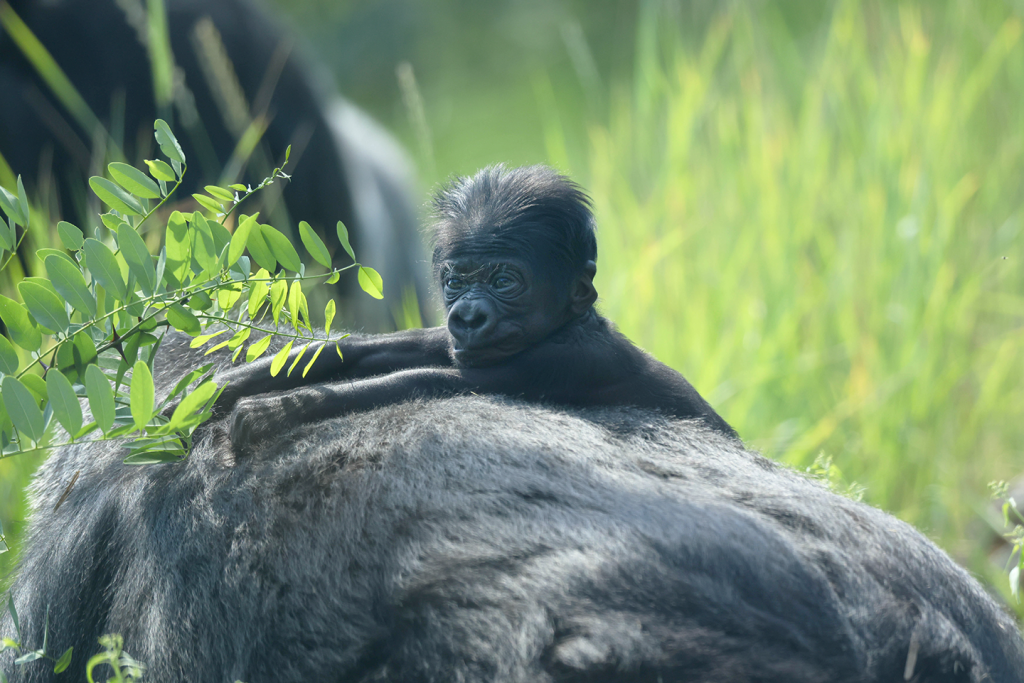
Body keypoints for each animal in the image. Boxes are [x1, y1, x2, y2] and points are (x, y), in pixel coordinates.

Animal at [211, 164, 738, 456]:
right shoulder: (449, 337)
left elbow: (433, 381)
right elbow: (382, 351)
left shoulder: (567, 359)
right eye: (456, 282)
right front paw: (232, 384)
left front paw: (277, 410)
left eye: (504, 282)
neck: (569, 324)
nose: (469, 315)